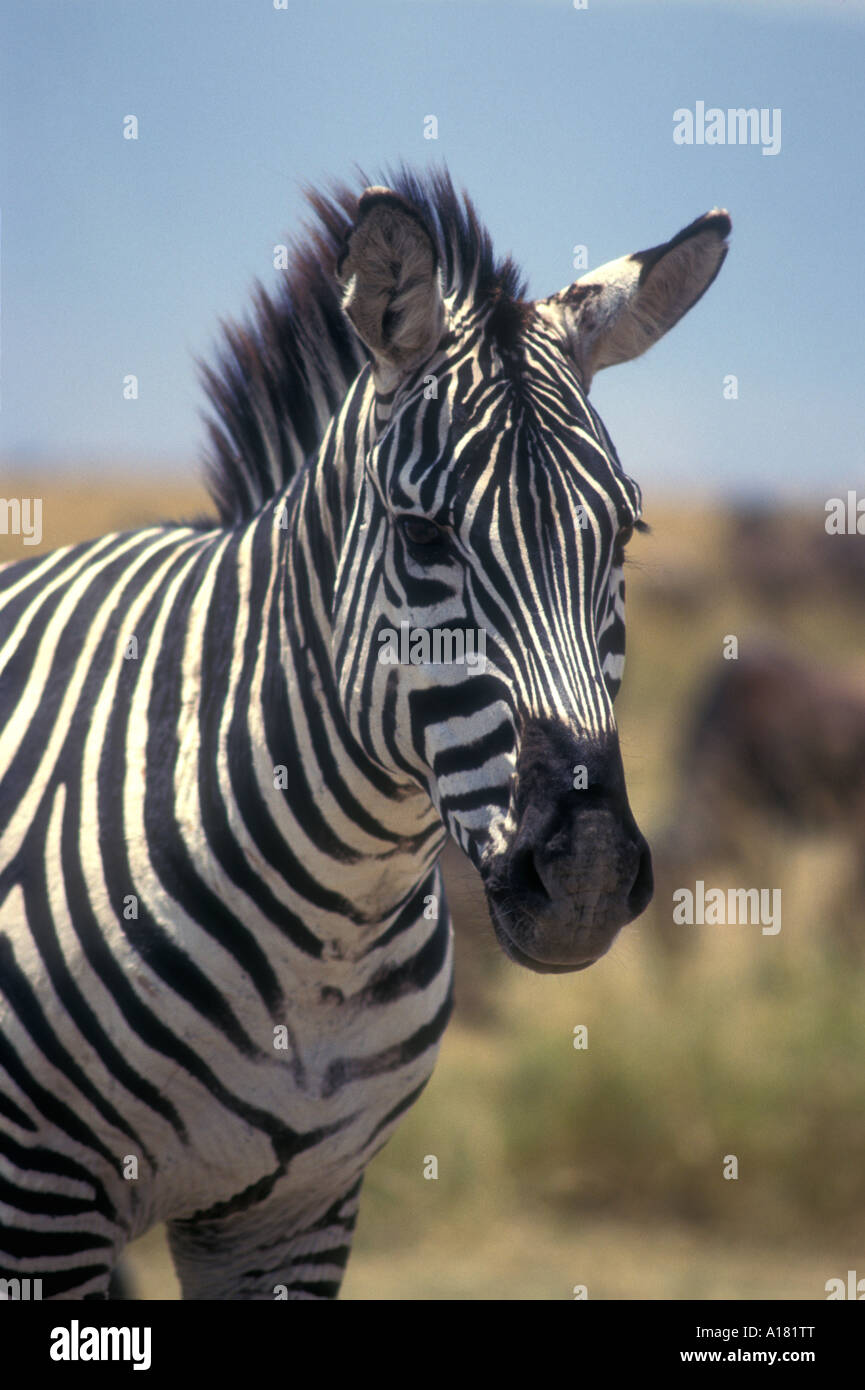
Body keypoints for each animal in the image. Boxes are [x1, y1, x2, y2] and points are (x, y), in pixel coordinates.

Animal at [0, 168, 730, 1299]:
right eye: (425, 535)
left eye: (623, 535)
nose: (589, 874)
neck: (331, 927)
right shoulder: (44, 1200)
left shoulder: (298, 1212)